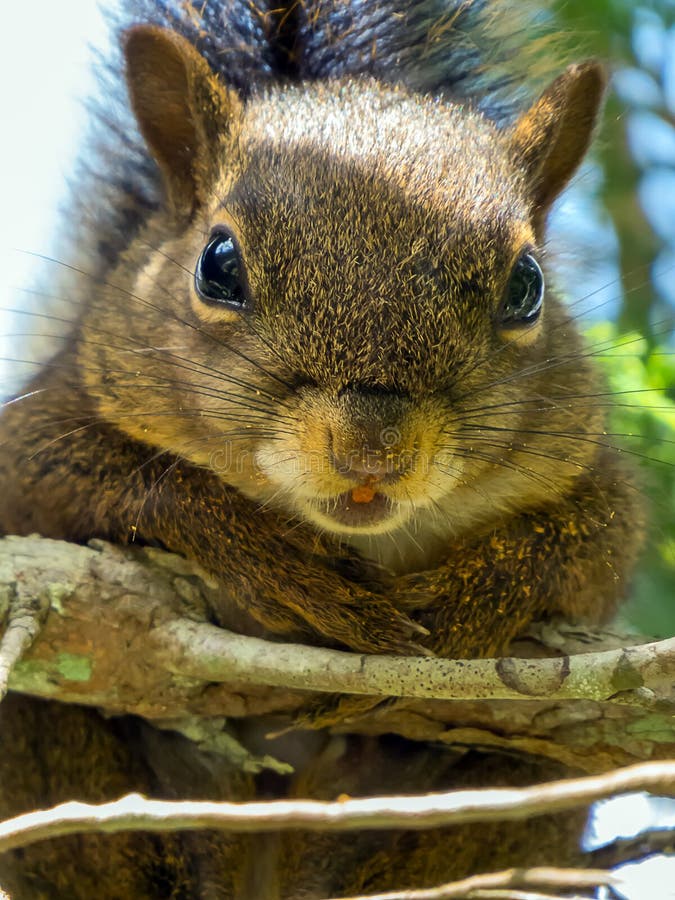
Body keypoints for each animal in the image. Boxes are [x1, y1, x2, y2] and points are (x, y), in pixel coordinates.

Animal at [0, 0, 645, 897]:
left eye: (527, 286)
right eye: (217, 265)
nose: (371, 444)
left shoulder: (584, 462)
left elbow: (592, 547)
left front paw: (476, 595)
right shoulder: (44, 421)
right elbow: (77, 481)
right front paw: (273, 560)